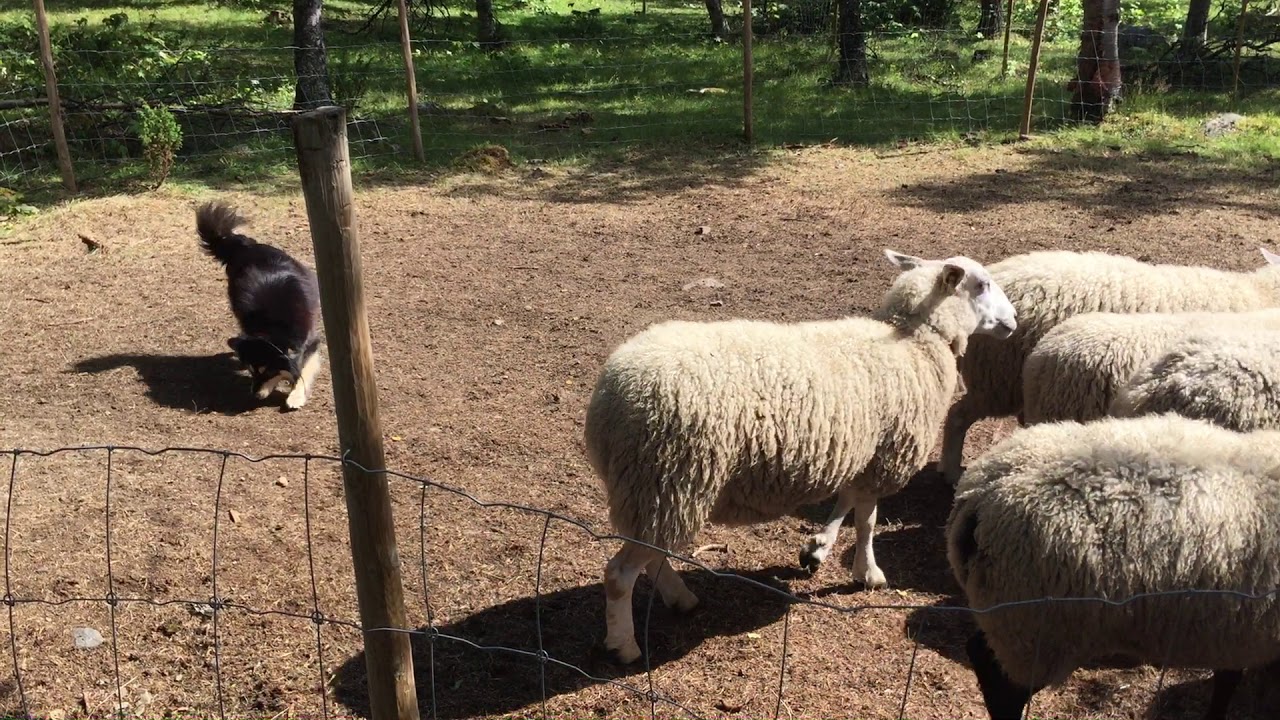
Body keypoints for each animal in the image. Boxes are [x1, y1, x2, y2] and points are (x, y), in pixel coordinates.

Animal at [583, 249, 1018, 664]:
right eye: (981, 284)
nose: (1013, 319)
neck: (914, 339)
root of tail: (610, 397)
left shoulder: (858, 453)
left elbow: (846, 503)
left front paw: (818, 548)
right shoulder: (882, 456)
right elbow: (867, 521)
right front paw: (868, 573)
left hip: (653, 490)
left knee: (652, 557)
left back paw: (681, 598)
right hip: (668, 481)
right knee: (621, 574)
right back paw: (624, 645)